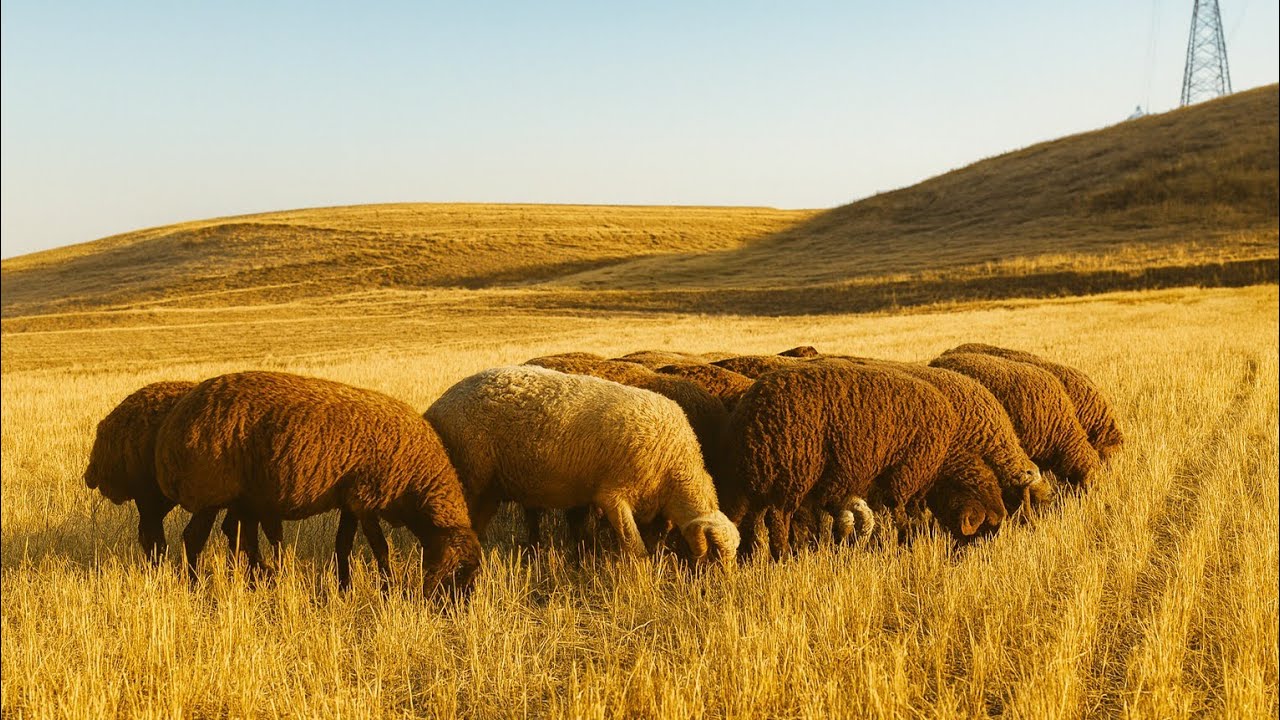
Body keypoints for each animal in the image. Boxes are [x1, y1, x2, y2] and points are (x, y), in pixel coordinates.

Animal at [154, 371, 481, 596]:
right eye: (459, 571)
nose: (453, 610)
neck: (416, 481)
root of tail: (171, 429)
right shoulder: (366, 499)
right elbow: (381, 548)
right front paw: (388, 587)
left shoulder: (350, 501)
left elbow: (343, 544)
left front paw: (344, 586)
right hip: (210, 492)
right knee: (193, 538)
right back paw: (195, 584)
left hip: (242, 496)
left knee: (237, 535)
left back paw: (259, 576)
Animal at [425, 365, 740, 563]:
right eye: (714, 553)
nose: (720, 589)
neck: (674, 469)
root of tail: (436, 406)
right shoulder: (613, 495)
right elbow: (634, 546)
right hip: (470, 475)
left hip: (490, 487)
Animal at [718, 362, 961, 559]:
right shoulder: (902, 476)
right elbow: (899, 515)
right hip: (791, 477)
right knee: (777, 520)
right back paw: (783, 556)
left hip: (766, 483)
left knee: (755, 522)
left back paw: (759, 555)